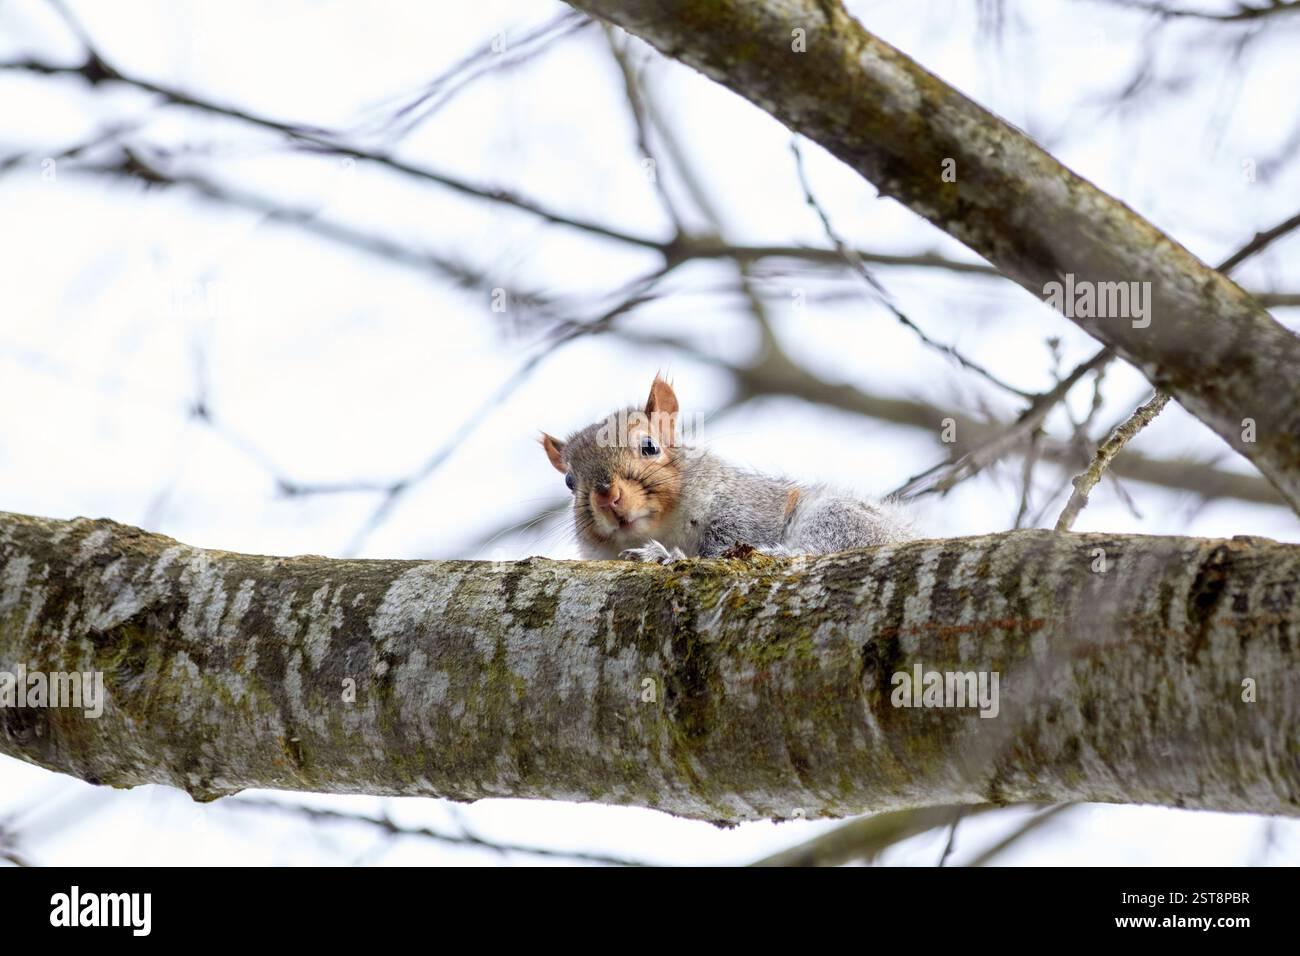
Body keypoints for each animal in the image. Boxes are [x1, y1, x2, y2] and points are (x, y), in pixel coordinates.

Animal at [540, 375, 916, 562]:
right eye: (570, 481)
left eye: (650, 446)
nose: (608, 496)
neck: (664, 528)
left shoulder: (745, 511)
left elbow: (723, 546)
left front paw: (664, 555)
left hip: (840, 516)